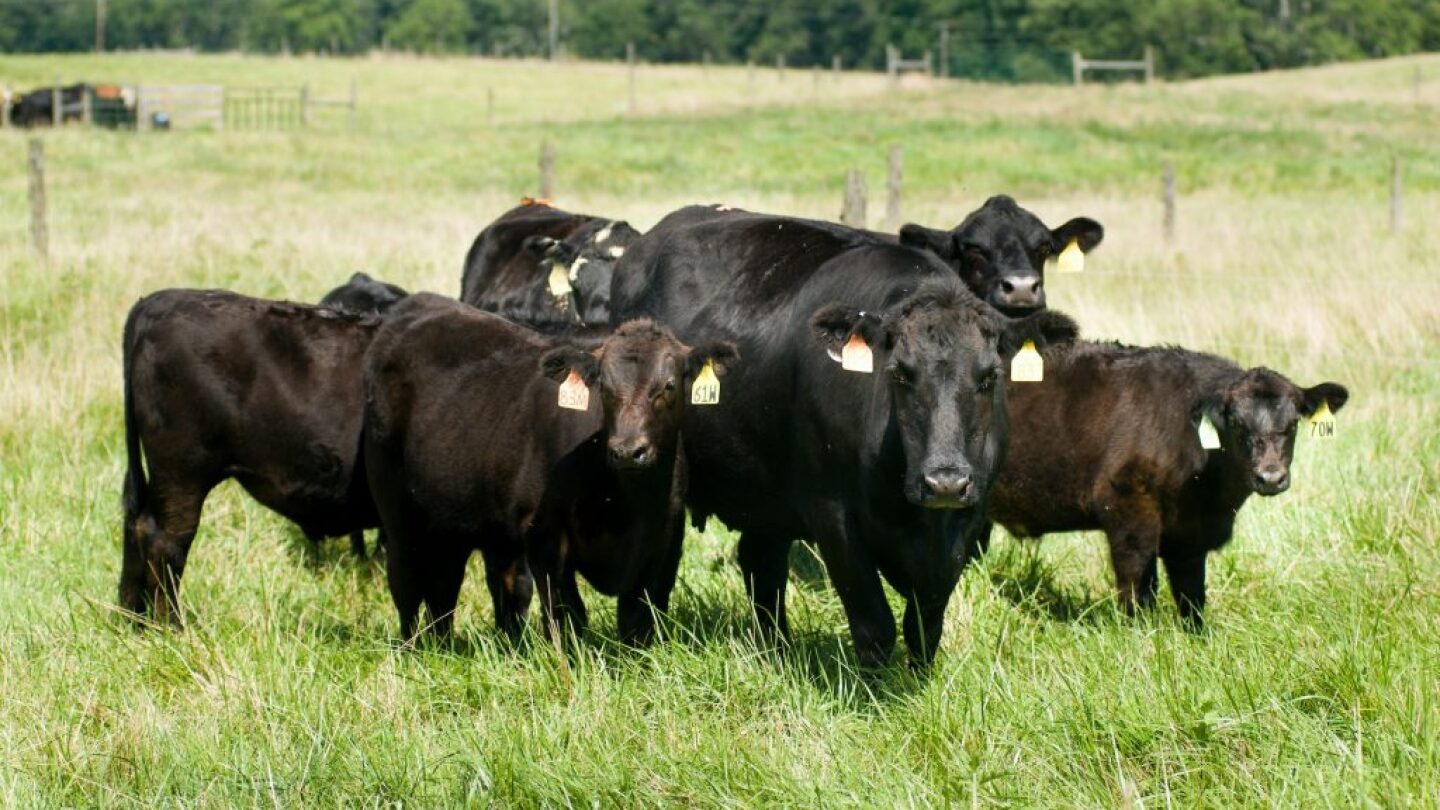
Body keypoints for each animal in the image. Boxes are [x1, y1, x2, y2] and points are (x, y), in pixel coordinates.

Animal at [120, 290, 382, 622]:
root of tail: (159, 299)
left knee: (135, 526)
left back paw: (133, 620)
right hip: (181, 472)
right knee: (164, 540)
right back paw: (170, 627)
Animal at [363, 293, 737, 644]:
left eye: (669, 386)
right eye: (604, 387)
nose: (628, 452)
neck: (626, 504)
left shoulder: (664, 539)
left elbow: (638, 618)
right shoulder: (544, 534)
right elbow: (567, 615)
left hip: (453, 517)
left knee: (448, 586)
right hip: (396, 508)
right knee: (406, 582)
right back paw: (413, 648)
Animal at [610, 205, 1079, 666]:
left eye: (989, 376)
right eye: (900, 373)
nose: (944, 482)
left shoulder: (966, 523)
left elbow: (925, 626)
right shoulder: (833, 517)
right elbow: (875, 625)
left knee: (761, 563)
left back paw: (776, 650)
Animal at [986, 340, 1349, 626]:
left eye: (1293, 423)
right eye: (1236, 423)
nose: (1270, 476)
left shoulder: (1188, 537)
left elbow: (1192, 597)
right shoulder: (1128, 510)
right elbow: (1138, 588)